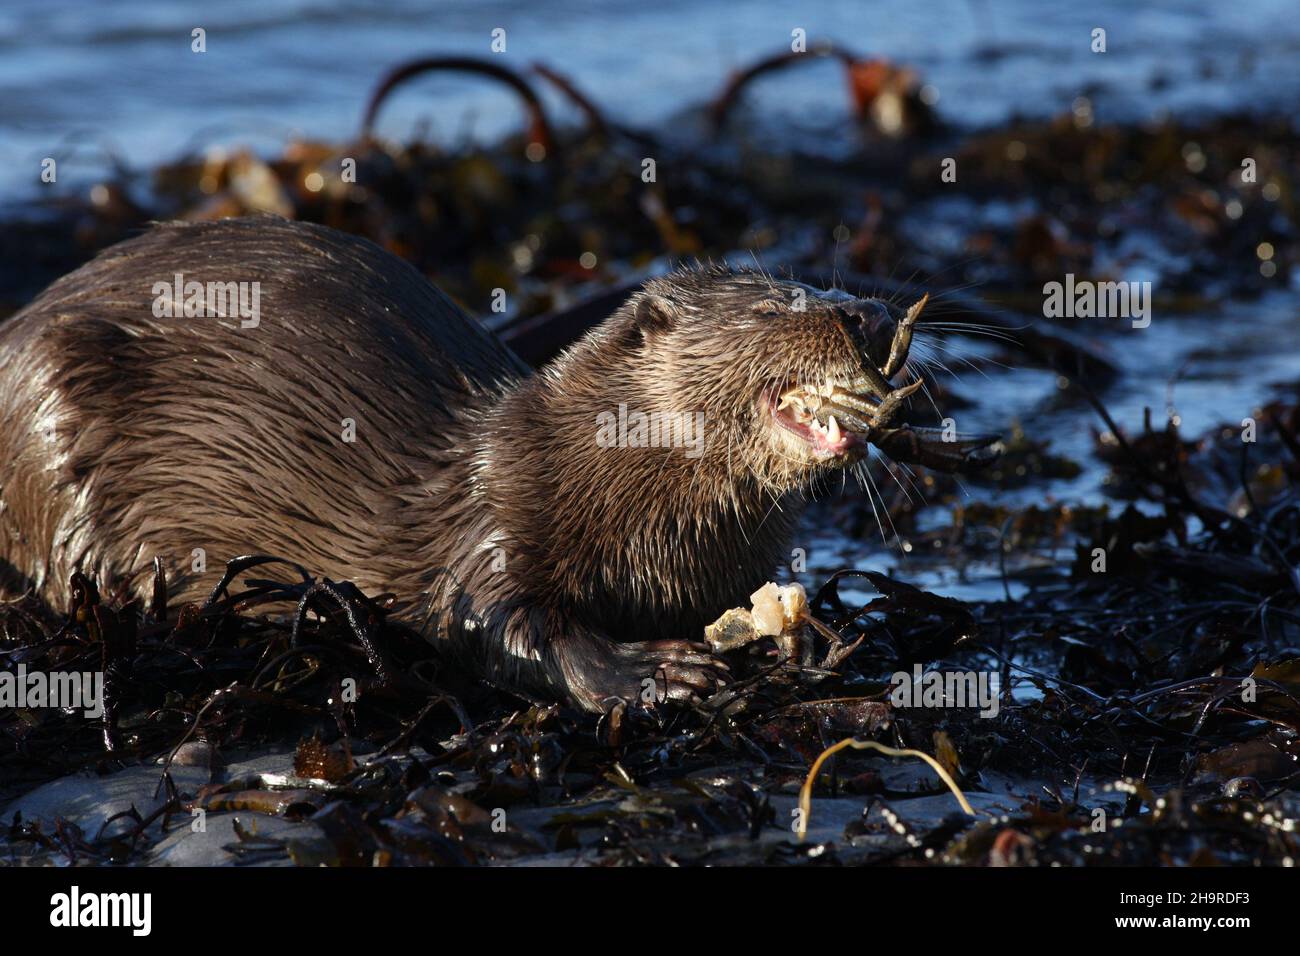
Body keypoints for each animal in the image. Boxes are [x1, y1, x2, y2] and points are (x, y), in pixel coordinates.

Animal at [0, 217, 995, 712]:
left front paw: (814, 639)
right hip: (46, 419)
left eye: (830, 283)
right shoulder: (495, 512)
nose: (872, 314)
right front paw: (645, 674)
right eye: (778, 303)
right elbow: (495, 621)